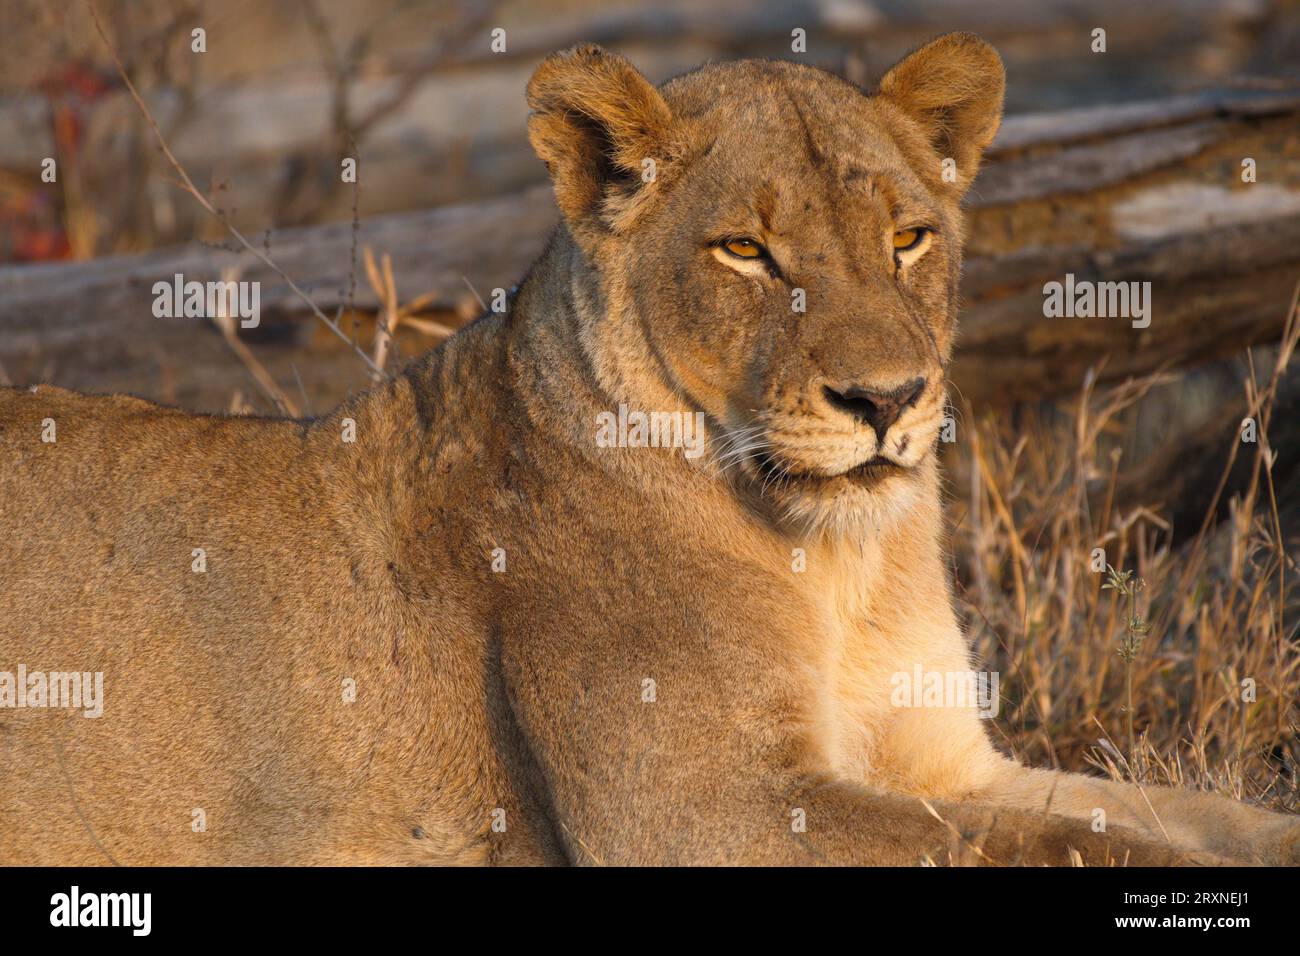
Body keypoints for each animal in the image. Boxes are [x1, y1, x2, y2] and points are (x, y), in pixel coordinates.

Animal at [1, 34, 1297, 866]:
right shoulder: (701, 811)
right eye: (746, 252)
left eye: (908, 238)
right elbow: (1041, 844)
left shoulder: (945, 760)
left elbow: (1167, 812)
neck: (839, 563)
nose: (886, 399)